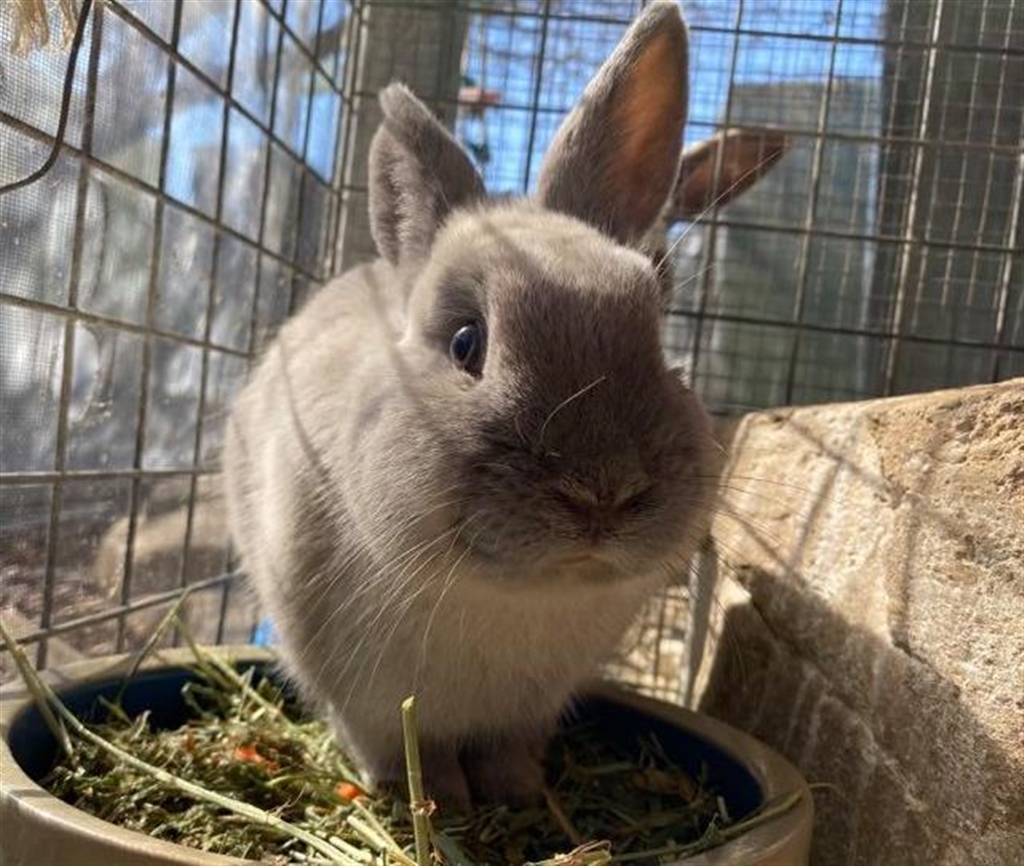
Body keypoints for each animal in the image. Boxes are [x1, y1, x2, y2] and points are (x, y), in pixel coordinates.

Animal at [223, 0, 722, 808]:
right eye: (466, 343)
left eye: (654, 330)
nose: (604, 492)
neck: (510, 596)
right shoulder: (363, 698)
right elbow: (397, 746)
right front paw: (435, 800)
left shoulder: (530, 707)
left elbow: (508, 748)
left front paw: (516, 793)